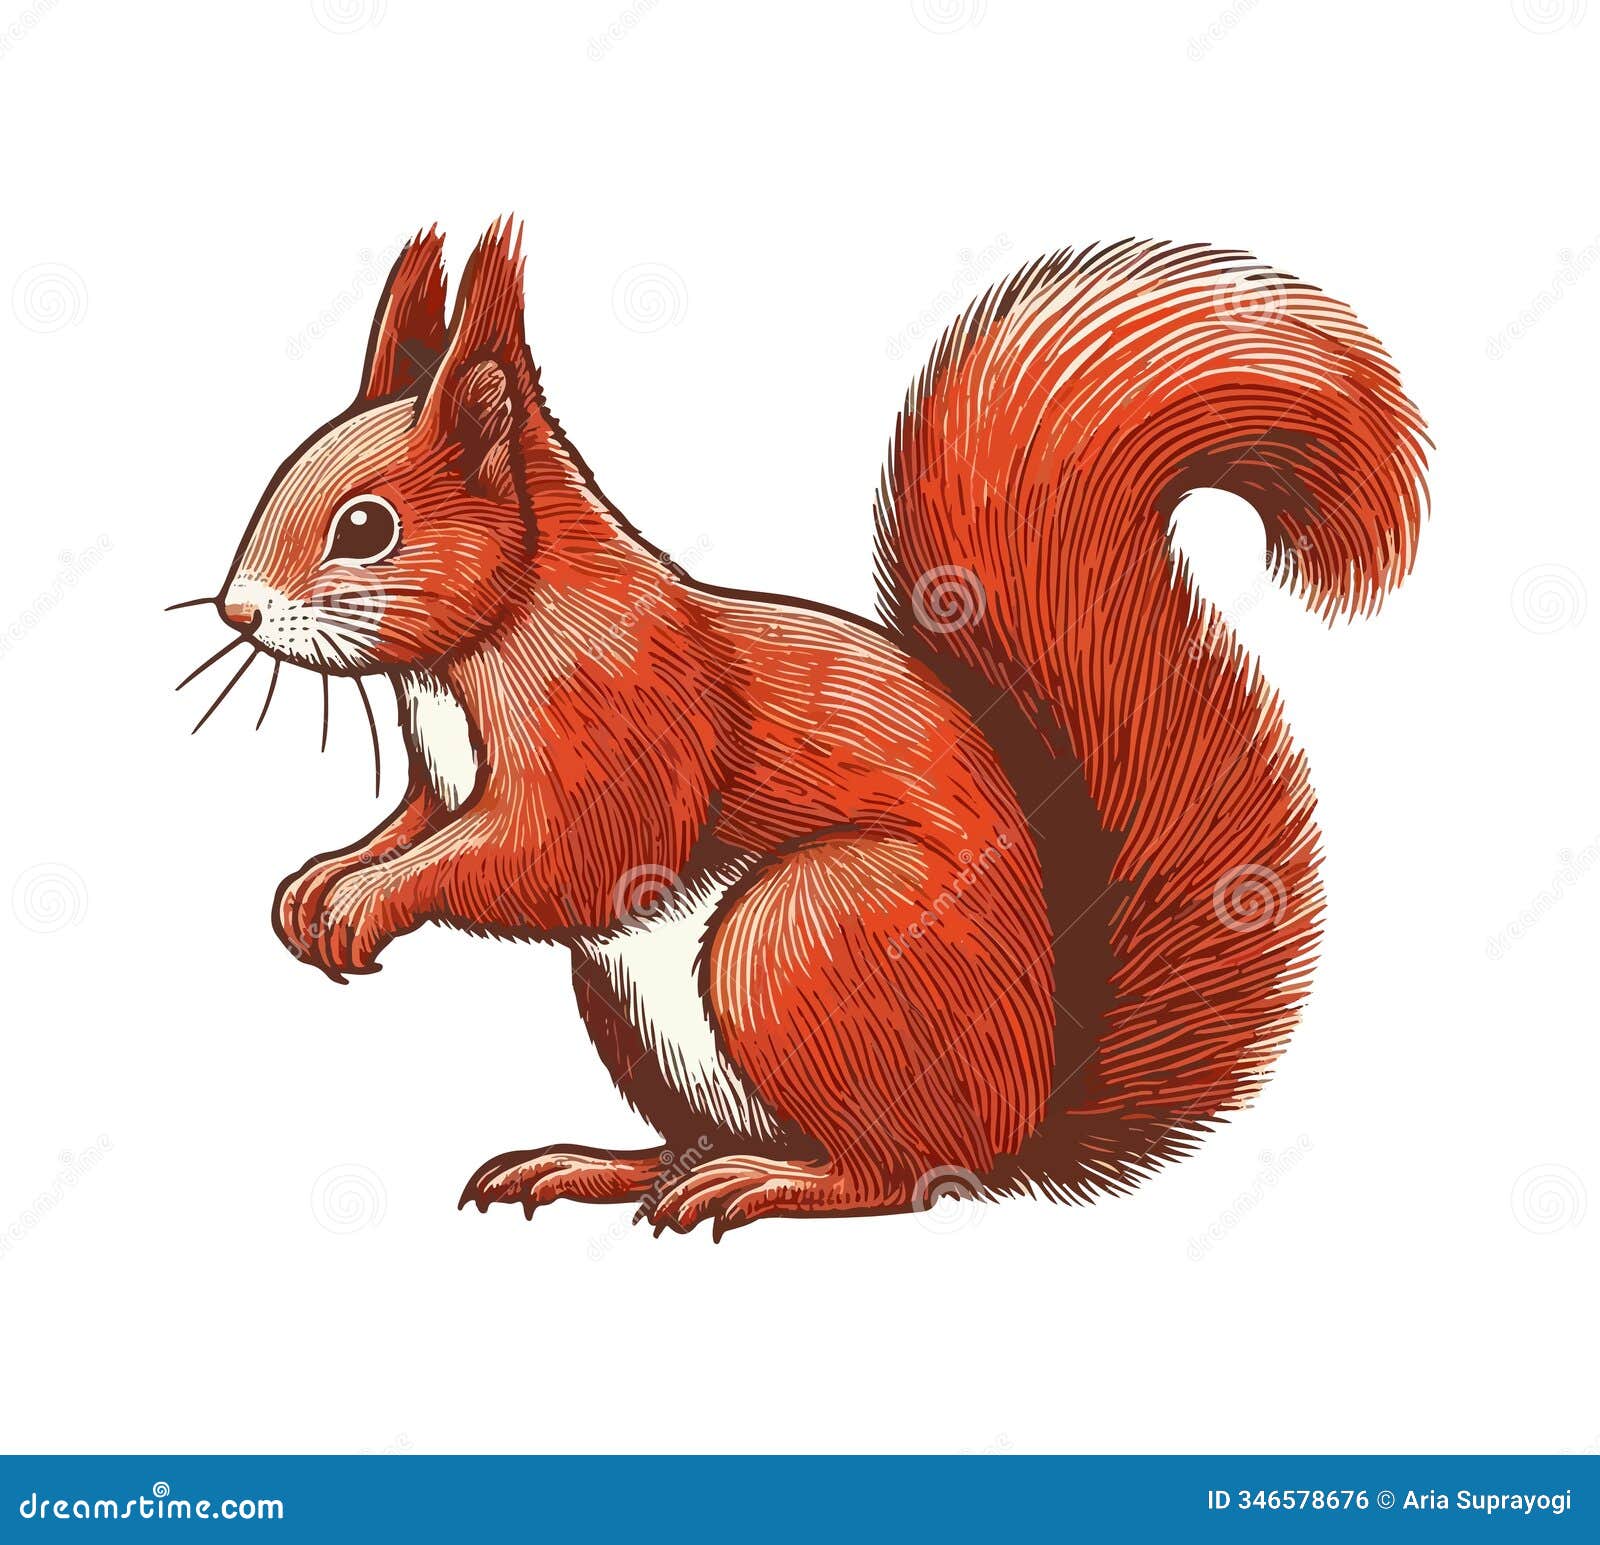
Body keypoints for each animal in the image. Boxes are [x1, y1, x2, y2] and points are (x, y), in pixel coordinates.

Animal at [192, 221, 1426, 1235]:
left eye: (366, 526)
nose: (240, 611)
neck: (483, 643)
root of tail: (1020, 1116)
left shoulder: (621, 713)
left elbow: (559, 856)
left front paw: (366, 901)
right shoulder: (442, 782)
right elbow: (415, 825)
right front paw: (319, 883)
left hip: (802, 939)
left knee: (895, 1175)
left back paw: (764, 1185)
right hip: (636, 1009)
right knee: (704, 1137)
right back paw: (598, 1165)